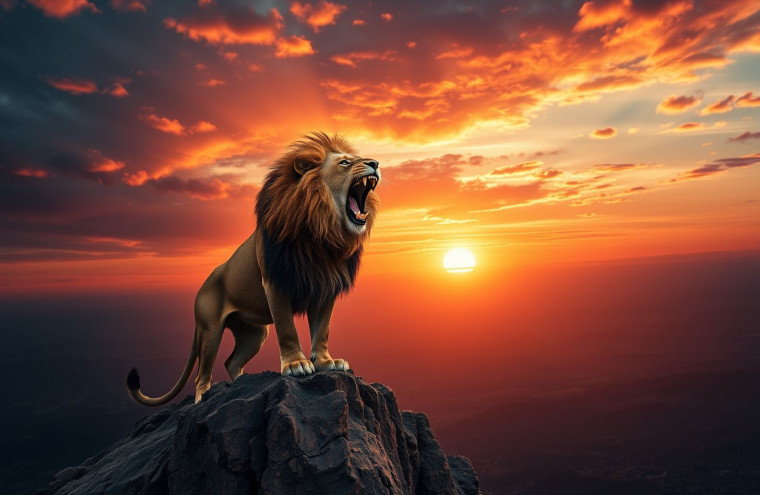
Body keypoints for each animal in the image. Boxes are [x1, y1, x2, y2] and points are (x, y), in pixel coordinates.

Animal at [127, 132, 380, 405]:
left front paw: (326, 361)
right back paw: (203, 398)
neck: (323, 234)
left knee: (231, 362)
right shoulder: (275, 284)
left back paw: (241, 385)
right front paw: (296, 364)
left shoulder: (325, 287)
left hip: (253, 335)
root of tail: (204, 284)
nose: (375, 162)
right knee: (202, 374)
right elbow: (287, 328)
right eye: (345, 163)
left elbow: (322, 330)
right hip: (210, 331)